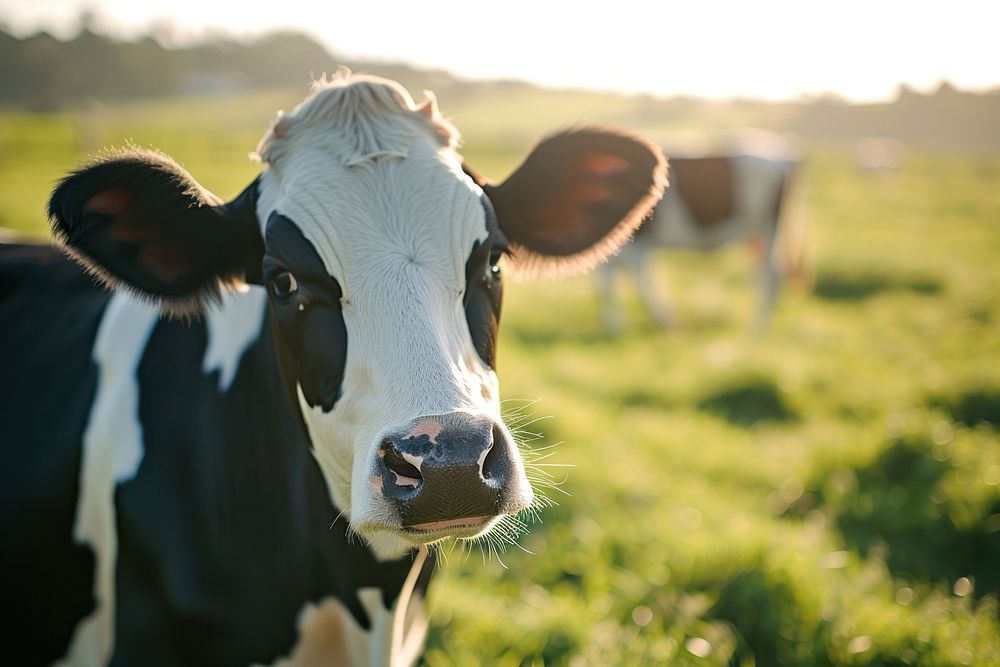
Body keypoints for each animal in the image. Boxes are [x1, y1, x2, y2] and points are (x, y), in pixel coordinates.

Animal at [596, 152, 805, 333]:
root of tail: (780, 162)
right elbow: (606, 286)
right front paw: (615, 329)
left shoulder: (639, 244)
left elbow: (641, 284)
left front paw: (669, 324)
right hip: (756, 237)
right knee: (761, 273)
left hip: (766, 228)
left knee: (771, 275)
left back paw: (757, 331)